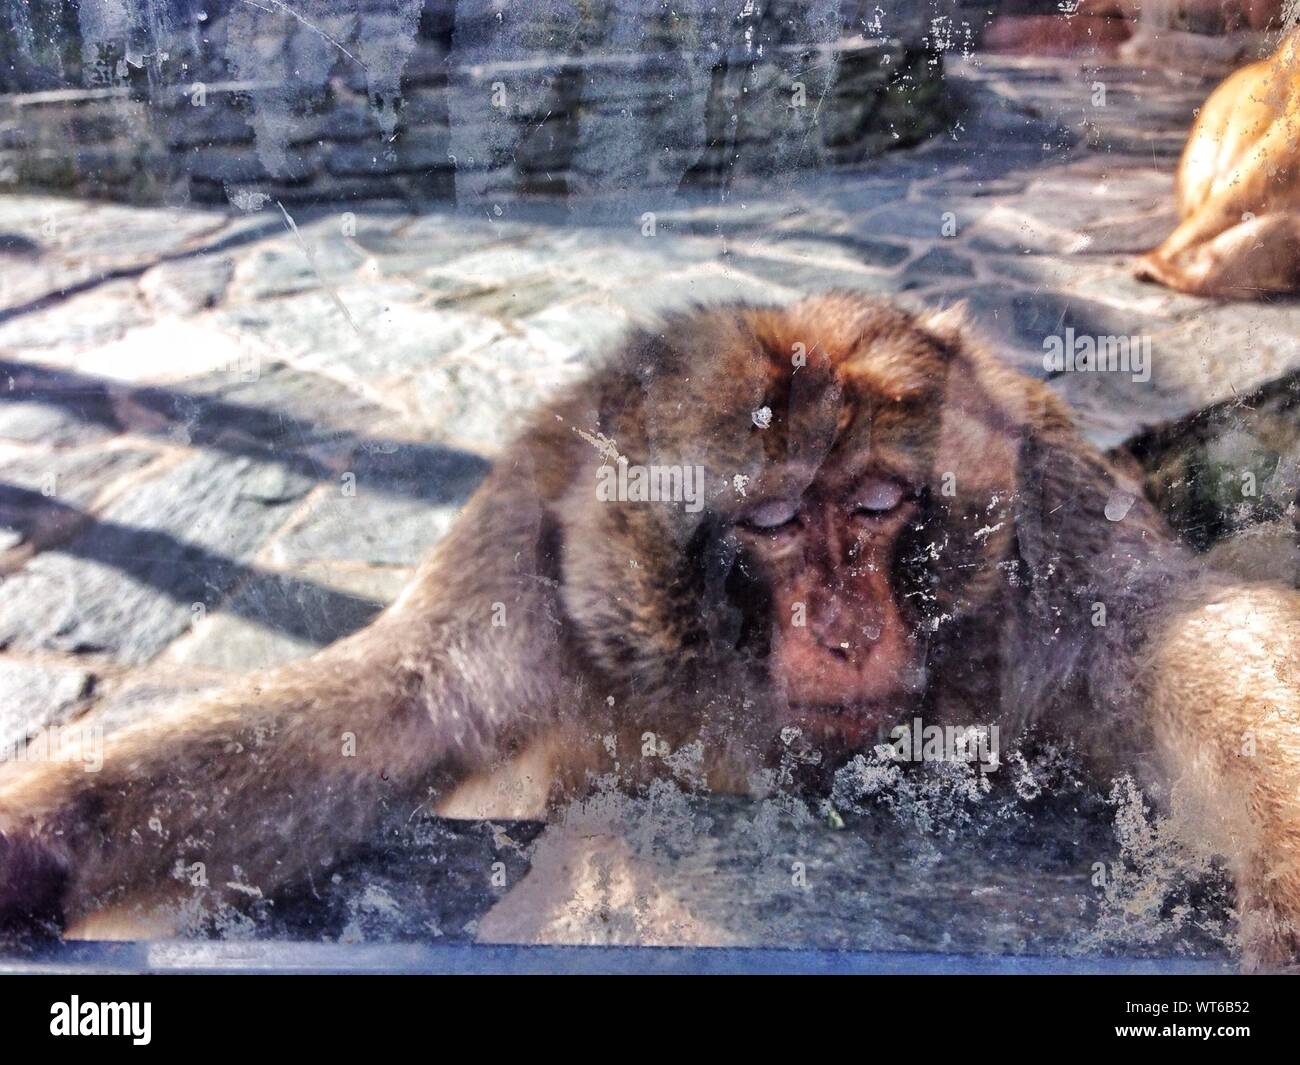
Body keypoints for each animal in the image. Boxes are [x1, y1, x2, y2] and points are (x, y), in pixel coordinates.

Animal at [1, 292, 1299, 967]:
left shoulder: (1048, 519)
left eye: (877, 502)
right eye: (772, 519)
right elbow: (387, 706)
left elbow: (1176, 636)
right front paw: (35, 849)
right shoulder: (527, 560)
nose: (843, 628)